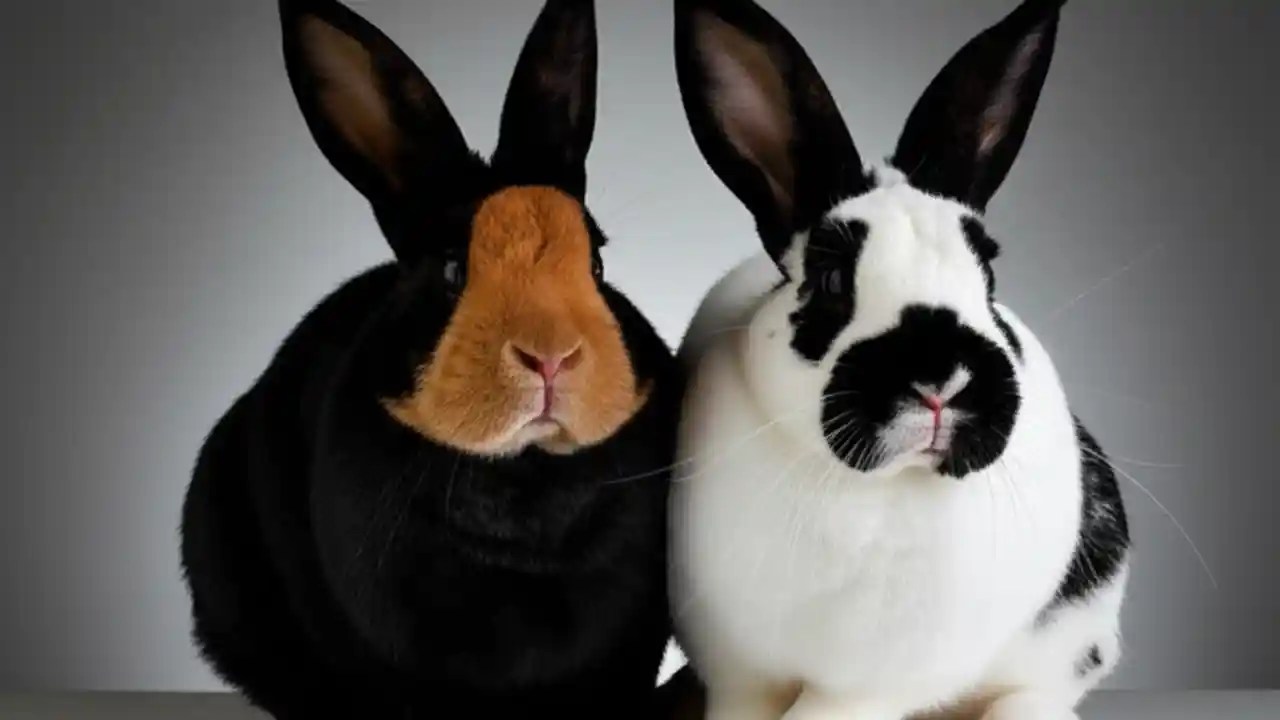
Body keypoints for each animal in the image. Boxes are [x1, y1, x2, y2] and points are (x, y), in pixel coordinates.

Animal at [668, 1, 1130, 719]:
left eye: (988, 272)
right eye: (830, 278)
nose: (943, 381)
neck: (863, 489)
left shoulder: (869, 684)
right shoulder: (739, 674)